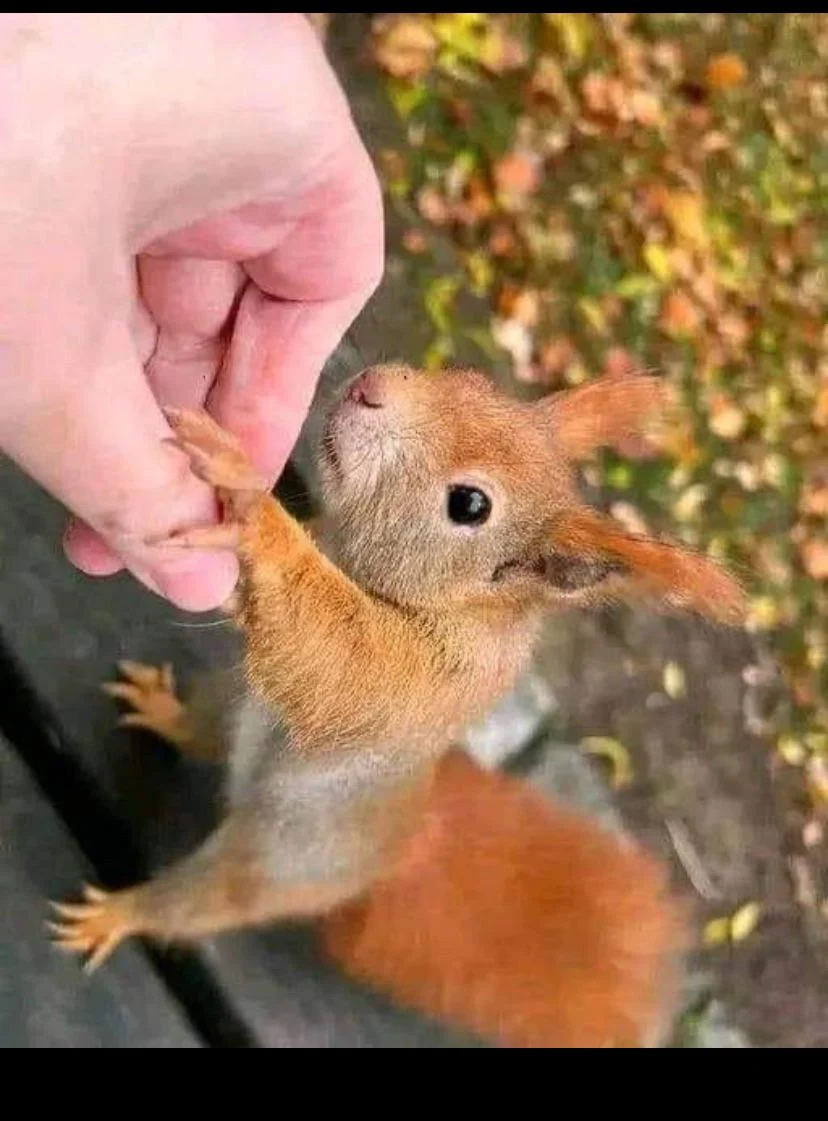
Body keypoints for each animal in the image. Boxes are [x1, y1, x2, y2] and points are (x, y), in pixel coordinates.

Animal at [50, 365, 745, 1047]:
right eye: (473, 380)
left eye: (469, 505)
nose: (370, 386)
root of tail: (399, 845)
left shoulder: (423, 678)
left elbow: (343, 659)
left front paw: (250, 501)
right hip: (230, 703)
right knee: (206, 735)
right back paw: (164, 712)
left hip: (283, 862)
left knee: (196, 905)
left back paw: (119, 913)